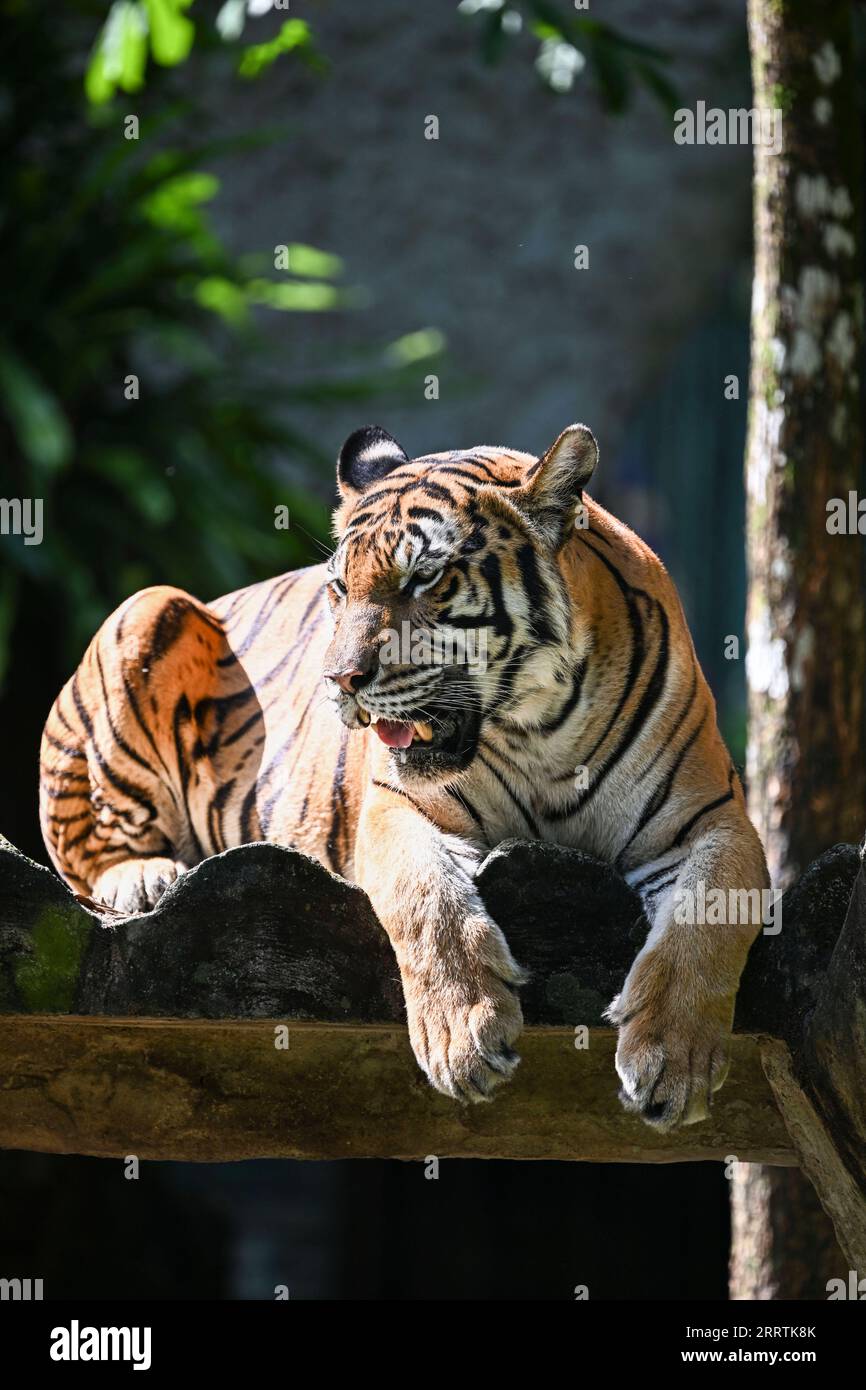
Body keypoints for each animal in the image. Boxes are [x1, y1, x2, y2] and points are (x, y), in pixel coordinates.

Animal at [39, 423, 769, 1129]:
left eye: (423, 579)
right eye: (340, 587)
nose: (340, 680)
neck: (543, 734)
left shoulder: (713, 820)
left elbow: (706, 923)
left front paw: (674, 1061)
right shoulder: (395, 810)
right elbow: (427, 900)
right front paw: (465, 1039)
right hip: (147, 609)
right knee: (83, 843)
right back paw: (144, 877)